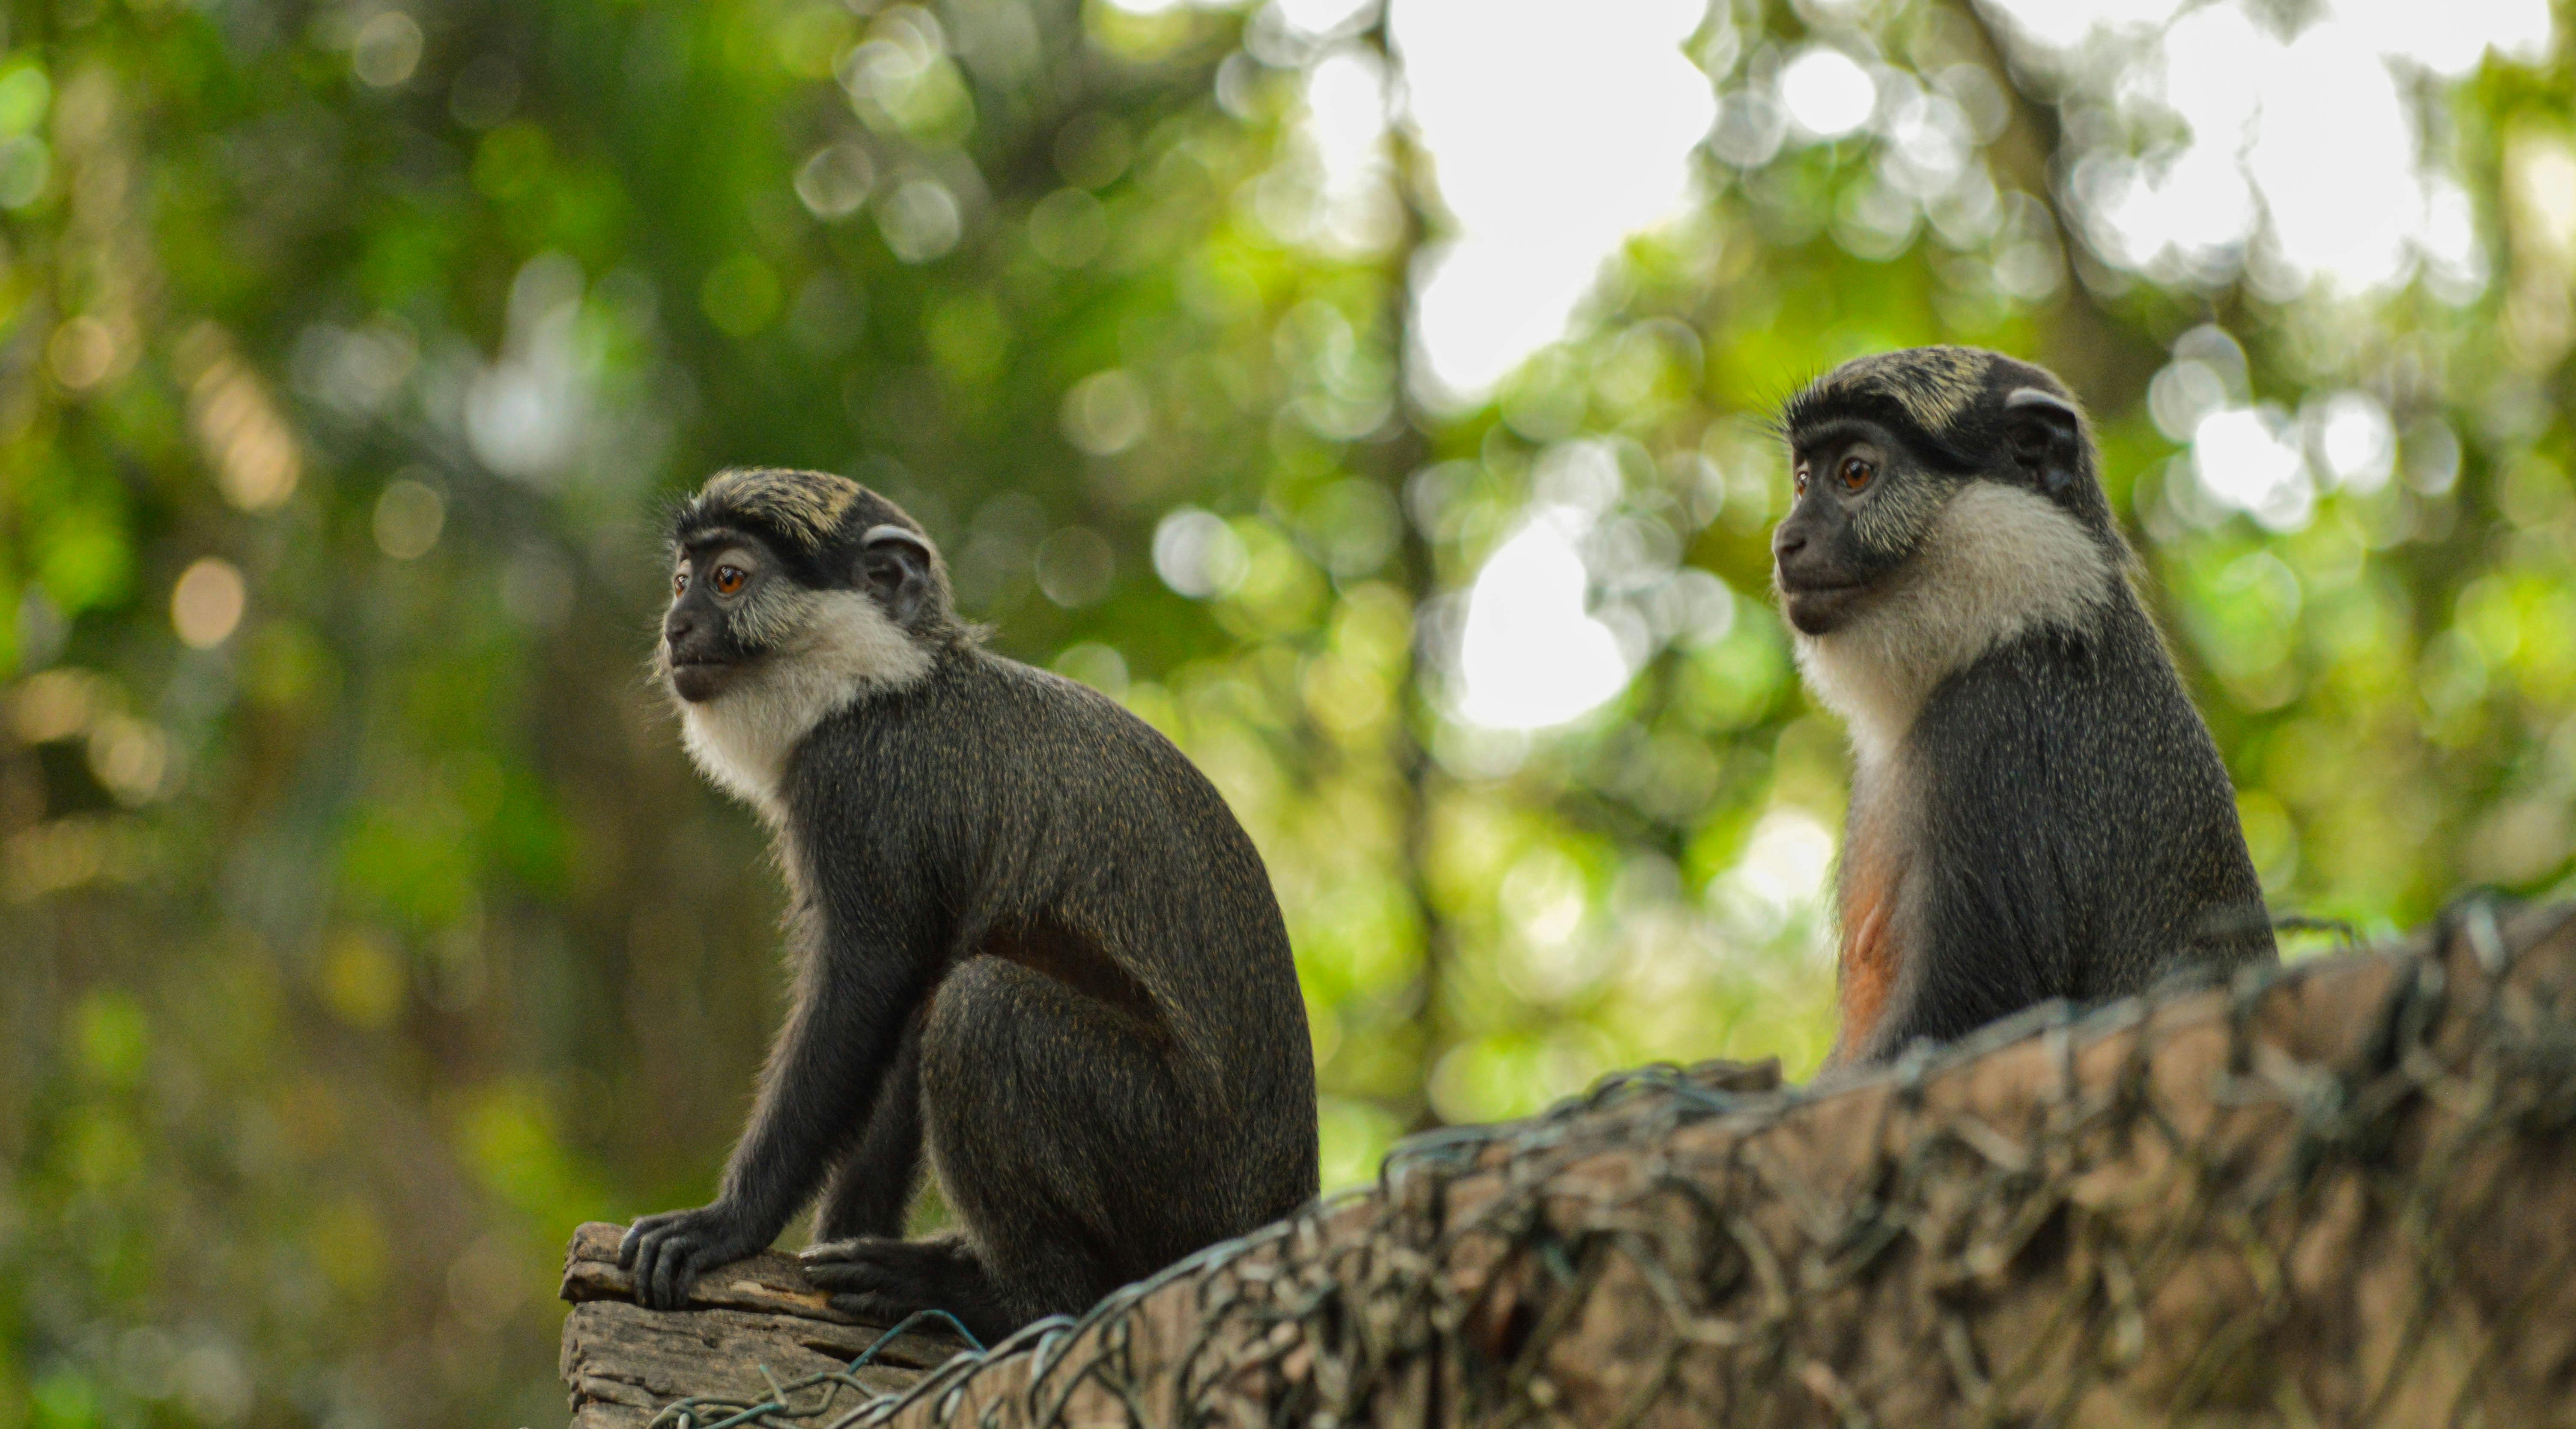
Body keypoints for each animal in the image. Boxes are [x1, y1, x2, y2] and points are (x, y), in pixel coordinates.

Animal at [618, 467, 1319, 1342]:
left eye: (728, 580)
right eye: (683, 580)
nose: (676, 625)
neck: (885, 680)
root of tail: (1277, 1211)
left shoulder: (858, 781)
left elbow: (865, 987)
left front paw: (728, 1223)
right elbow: (899, 1020)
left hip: (1175, 1168)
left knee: (981, 1011)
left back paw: (1009, 1299)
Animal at [1769, 347, 2275, 1069]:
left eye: (1856, 473)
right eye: (1804, 479)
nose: (1787, 539)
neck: (2019, 612)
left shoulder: (2003, 735)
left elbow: (1973, 1015)